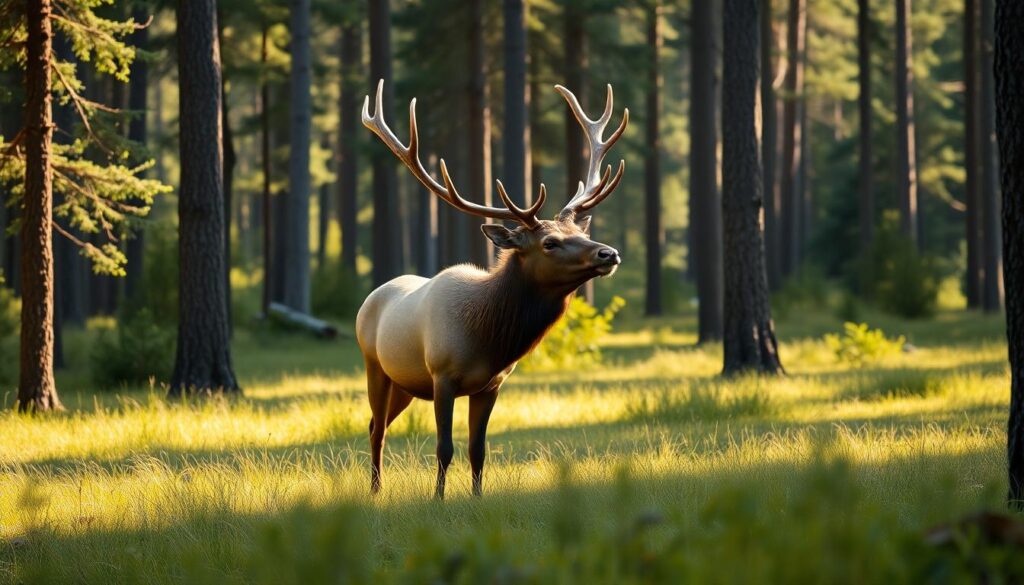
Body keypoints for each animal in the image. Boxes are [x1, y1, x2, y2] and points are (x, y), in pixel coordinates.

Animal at [357, 79, 628, 499]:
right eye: (549, 242)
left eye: (580, 232)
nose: (608, 253)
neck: (487, 337)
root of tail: (370, 298)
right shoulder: (442, 376)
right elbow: (444, 447)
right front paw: (438, 499)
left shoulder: (491, 385)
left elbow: (478, 449)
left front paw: (477, 497)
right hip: (375, 366)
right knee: (376, 430)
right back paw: (374, 491)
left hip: (404, 383)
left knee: (376, 423)